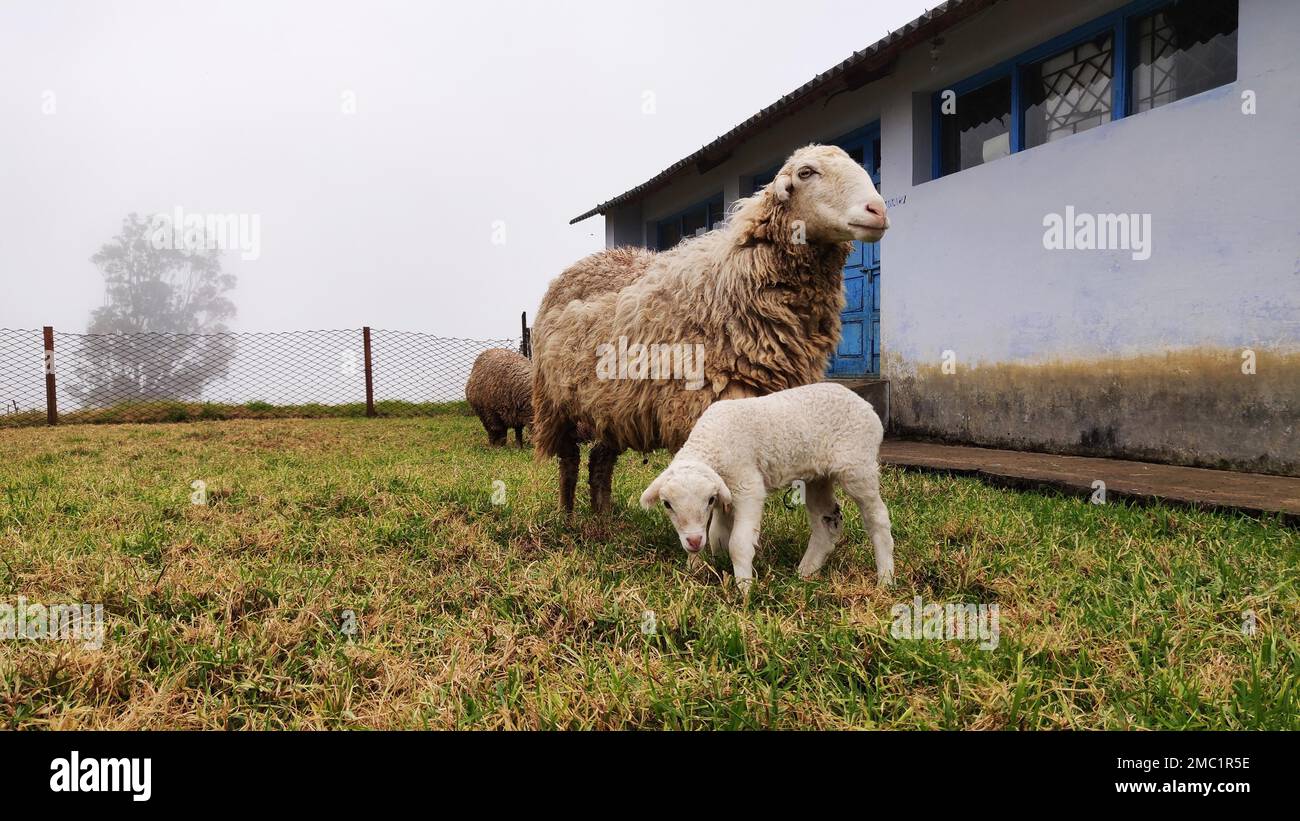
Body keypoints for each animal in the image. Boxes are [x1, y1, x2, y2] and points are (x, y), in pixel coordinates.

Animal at [532, 144, 889, 518]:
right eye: (806, 173)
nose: (877, 211)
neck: (736, 276)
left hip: (612, 407)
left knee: (600, 460)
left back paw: (602, 514)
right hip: (556, 404)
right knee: (569, 461)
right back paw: (568, 514)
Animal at [639, 382, 895, 591]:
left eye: (708, 500)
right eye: (667, 504)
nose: (693, 541)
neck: (709, 444)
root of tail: (866, 406)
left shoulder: (747, 485)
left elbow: (738, 543)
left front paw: (744, 588)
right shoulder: (726, 492)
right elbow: (716, 535)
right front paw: (702, 568)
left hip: (857, 465)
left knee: (877, 517)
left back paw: (885, 578)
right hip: (817, 475)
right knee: (826, 521)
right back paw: (806, 572)